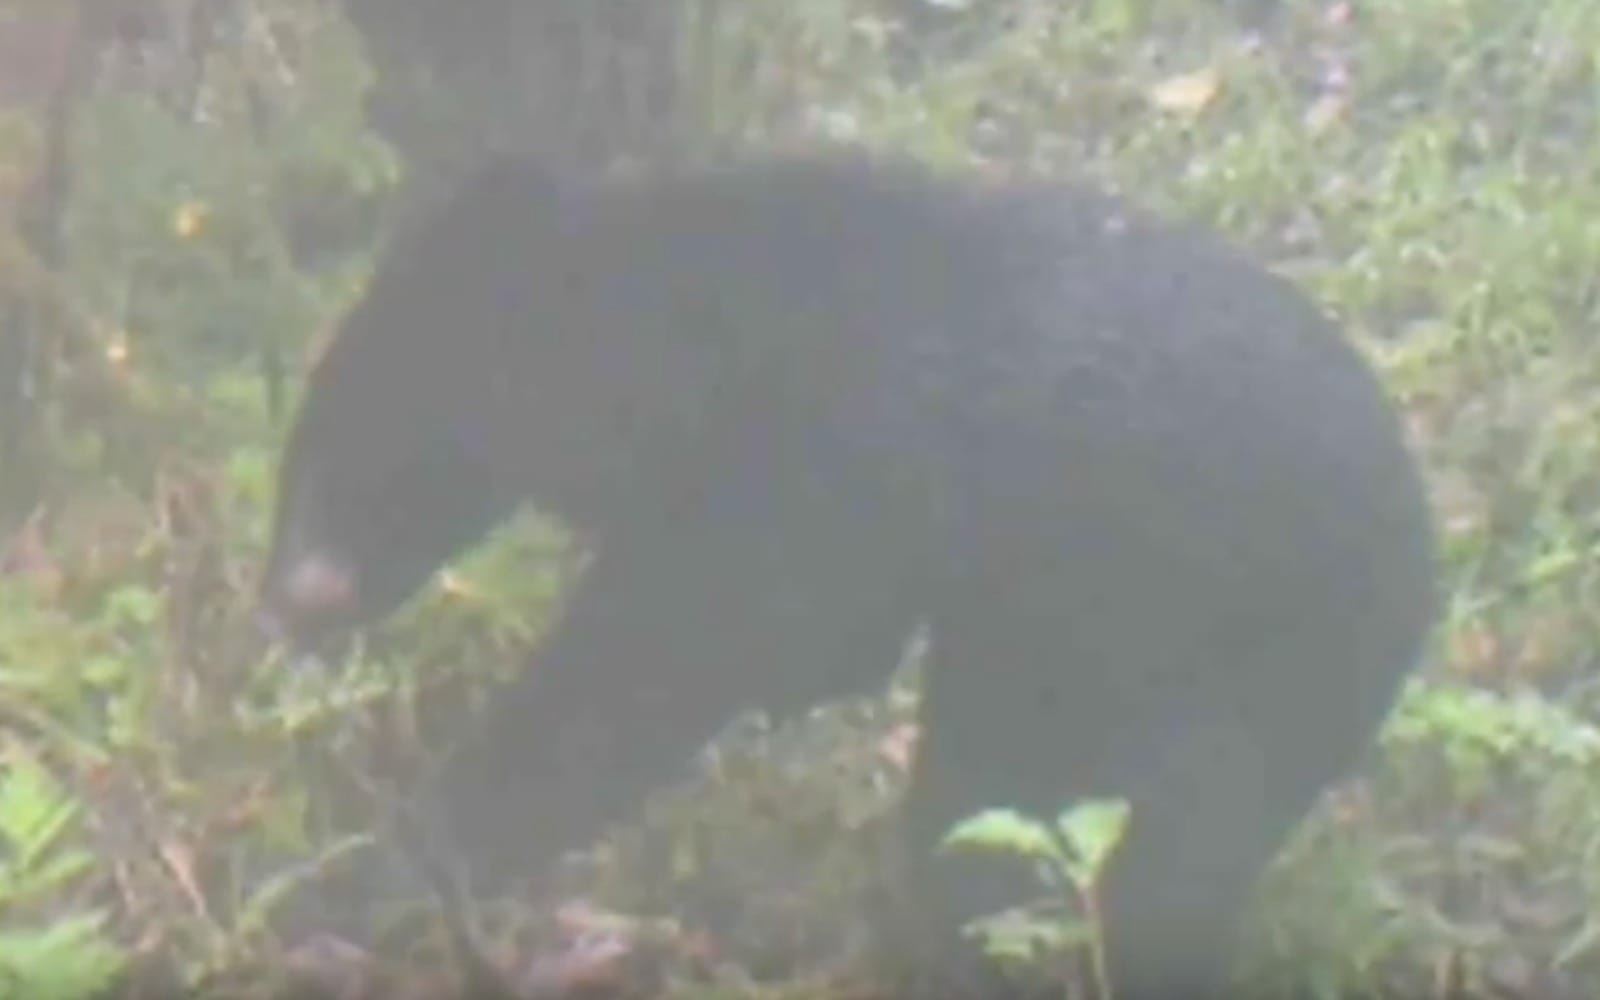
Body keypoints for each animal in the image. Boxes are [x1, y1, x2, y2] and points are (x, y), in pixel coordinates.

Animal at [257, 149, 1438, 999]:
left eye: (329, 459)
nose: (287, 604)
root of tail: (1422, 561)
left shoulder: (826, 464)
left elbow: (665, 662)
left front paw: (375, 879)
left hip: (1245, 672)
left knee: (1147, 869)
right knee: (986, 804)